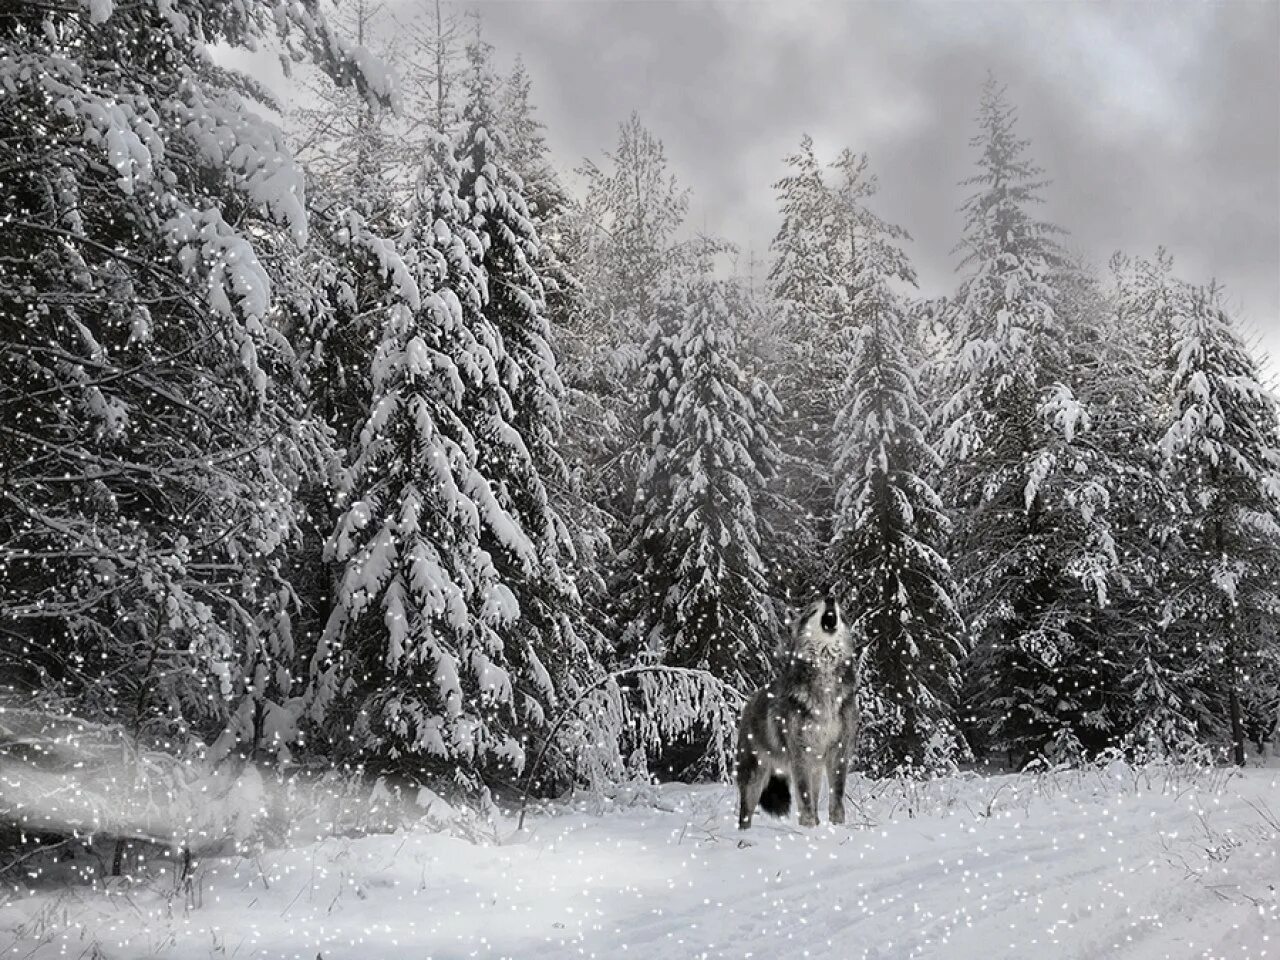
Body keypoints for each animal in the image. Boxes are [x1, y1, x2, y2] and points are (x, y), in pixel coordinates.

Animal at [737, 599, 855, 829]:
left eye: (838, 608)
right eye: (813, 609)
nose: (830, 597)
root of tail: (749, 703)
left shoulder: (839, 750)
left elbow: (837, 794)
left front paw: (837, 825)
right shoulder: (800, 754)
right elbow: (804, 795)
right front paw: (808, 826)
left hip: (815, 767)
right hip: (754, 775)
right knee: (745, 812)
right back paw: (743, 834)